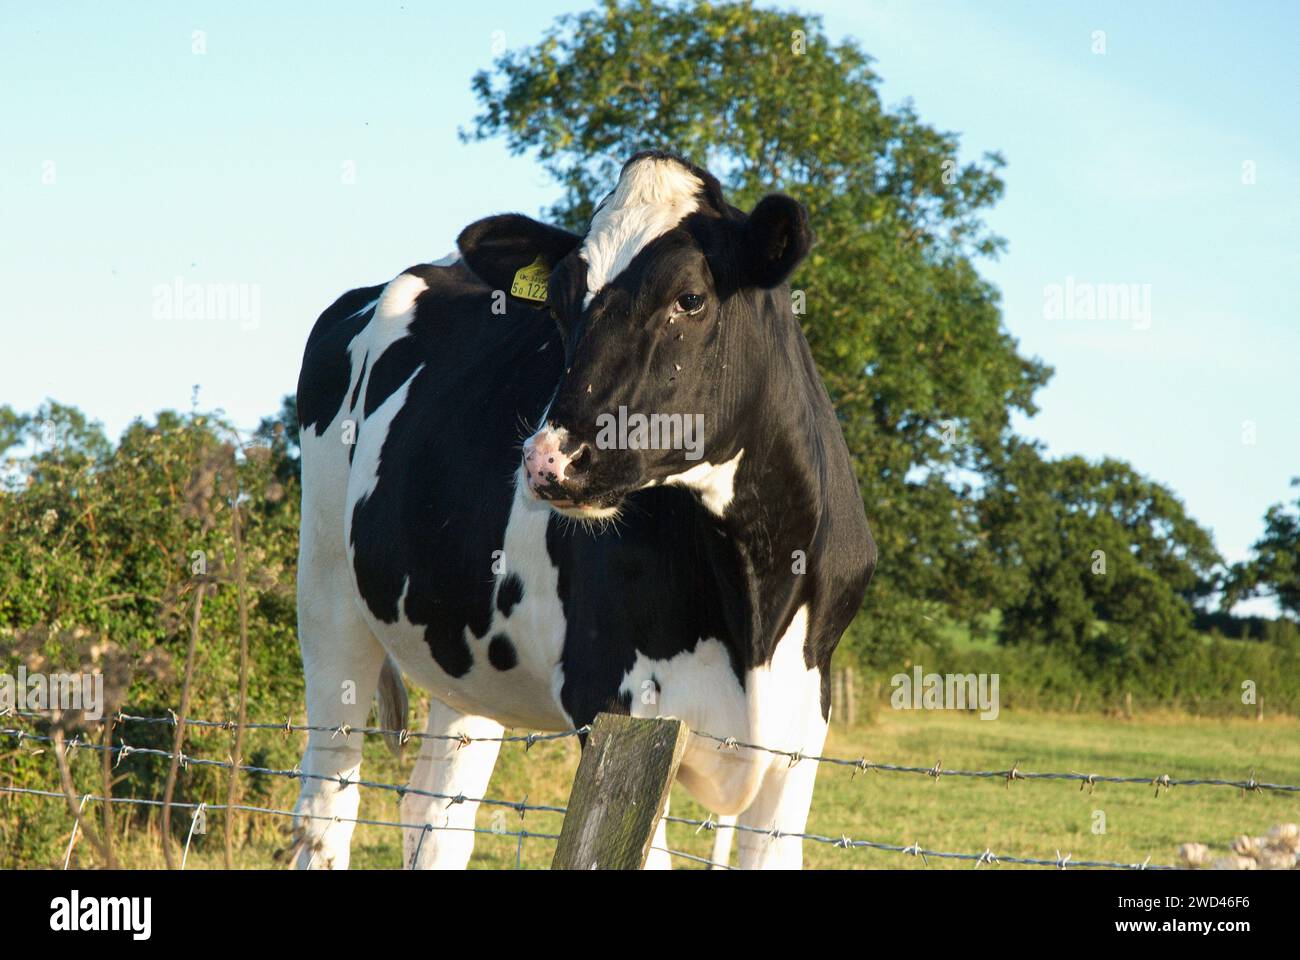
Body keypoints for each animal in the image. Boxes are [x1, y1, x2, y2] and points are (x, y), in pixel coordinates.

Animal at [291, 151, 876, 870]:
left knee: (435, 814)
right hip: (326, 593)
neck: (754, 597)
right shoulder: (612, 703)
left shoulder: (799, 735)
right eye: (561, 303)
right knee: (326, 804)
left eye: (690, 297)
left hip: (468, 649)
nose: (547, 459)